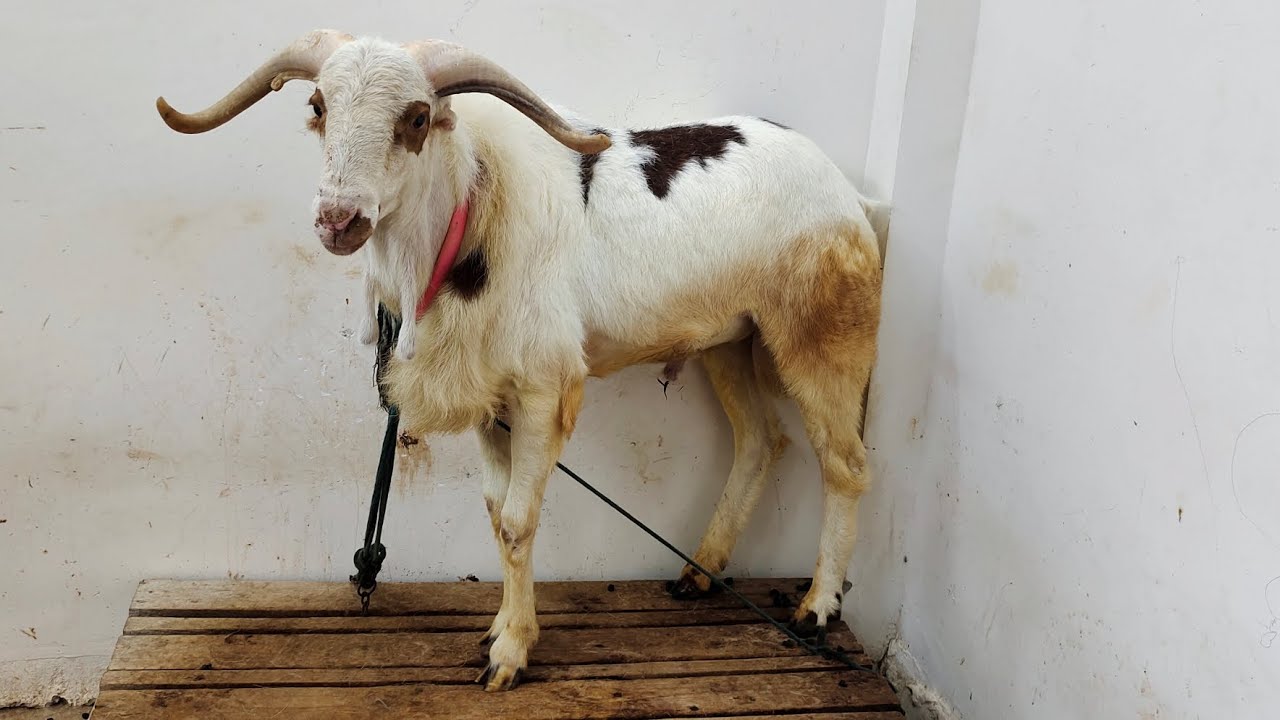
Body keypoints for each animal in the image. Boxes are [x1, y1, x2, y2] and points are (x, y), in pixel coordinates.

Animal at [156, 29, 885, 692]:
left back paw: (818, 608)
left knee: (843, 463)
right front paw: (500, 630)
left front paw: (509, 655)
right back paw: (698, 574)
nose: (340, 221)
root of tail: (850, 194)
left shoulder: (542, 389)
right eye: (317, 105)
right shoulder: (489, 395)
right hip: (731, 340)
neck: (473, 210)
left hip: (822, 332)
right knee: (761, 440)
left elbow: (516, 522)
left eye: (416, 118)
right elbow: (493, 509)